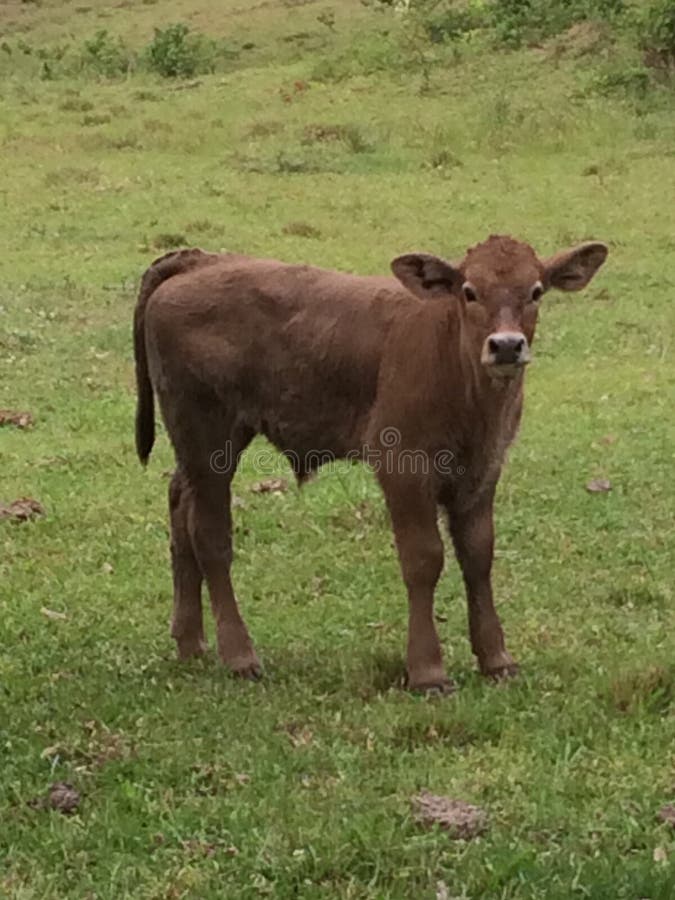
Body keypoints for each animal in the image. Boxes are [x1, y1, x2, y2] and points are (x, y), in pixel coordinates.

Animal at [133, 235, 608, 693]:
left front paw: (496, 659)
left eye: (536, 291)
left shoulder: (483, 471)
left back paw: (191, 641)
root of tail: (204, 260)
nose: (507, 346)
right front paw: (427, 671)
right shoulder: (403, 468)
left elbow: (478, 556)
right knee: (209, 535)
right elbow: (423, 560)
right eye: (469, 291)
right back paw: (238, 655)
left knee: (180, 506)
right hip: (207, 436)